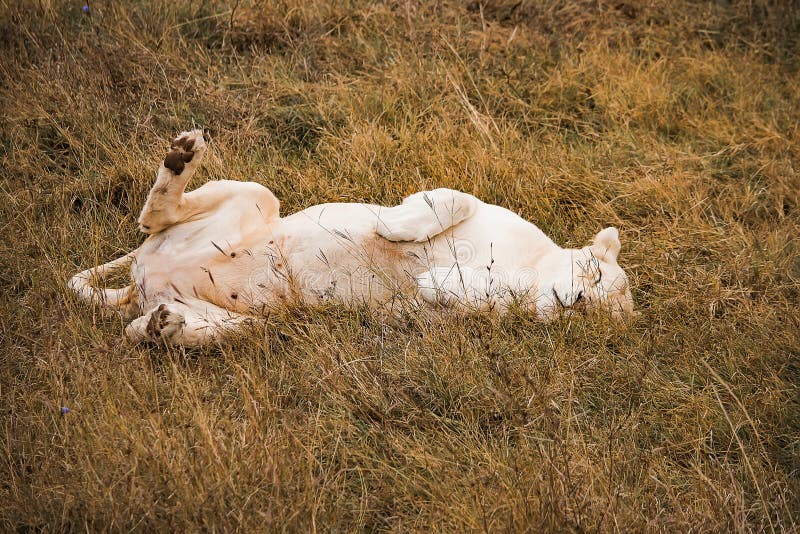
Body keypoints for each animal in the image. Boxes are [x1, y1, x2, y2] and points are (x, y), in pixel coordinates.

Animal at [69, 130, 635, 346]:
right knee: (157, 216)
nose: (578, 300)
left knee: (143, 330)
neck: (532, 272)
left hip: (248, 321)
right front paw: (392, 231)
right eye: (592, 274)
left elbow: (471, 293)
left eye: (593, 316)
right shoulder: (471, 203)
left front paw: (435, 280)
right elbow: (452, 200)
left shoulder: (476, 318)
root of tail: (145, 279)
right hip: (257, 197)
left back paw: (164, 325)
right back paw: (181, 157)